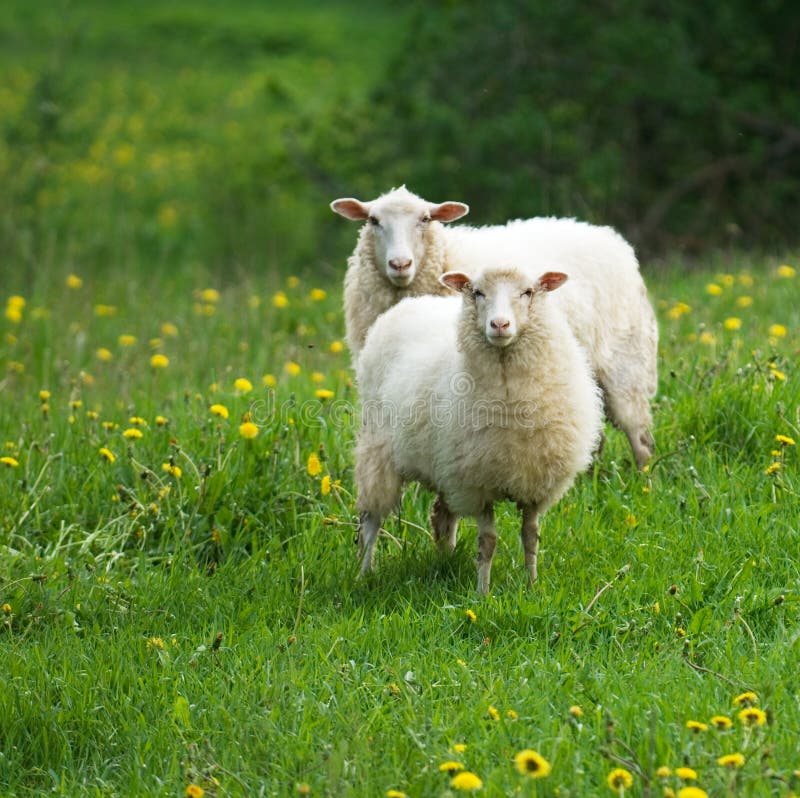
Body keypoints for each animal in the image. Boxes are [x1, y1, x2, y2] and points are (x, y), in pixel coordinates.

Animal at [331, 185, 657, 469]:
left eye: (425, 219)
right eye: (373, 220)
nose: (400, 264)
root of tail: (608, 235)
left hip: (625, 362)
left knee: (639, 435)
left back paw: (643, 481)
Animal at [355, 263, 604, 594]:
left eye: (528, 292)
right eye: (477, 292)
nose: (499, 324)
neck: (511, 406)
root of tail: (413, 302)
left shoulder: (534, 483)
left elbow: (531, 536)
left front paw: (532, 585)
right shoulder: (478, 482)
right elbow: (488, 541)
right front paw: (482, 594)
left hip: (446, 464)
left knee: (442, 516)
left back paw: (445, 562)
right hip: (379, 448)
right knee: (372, 519)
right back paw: (364, 572)